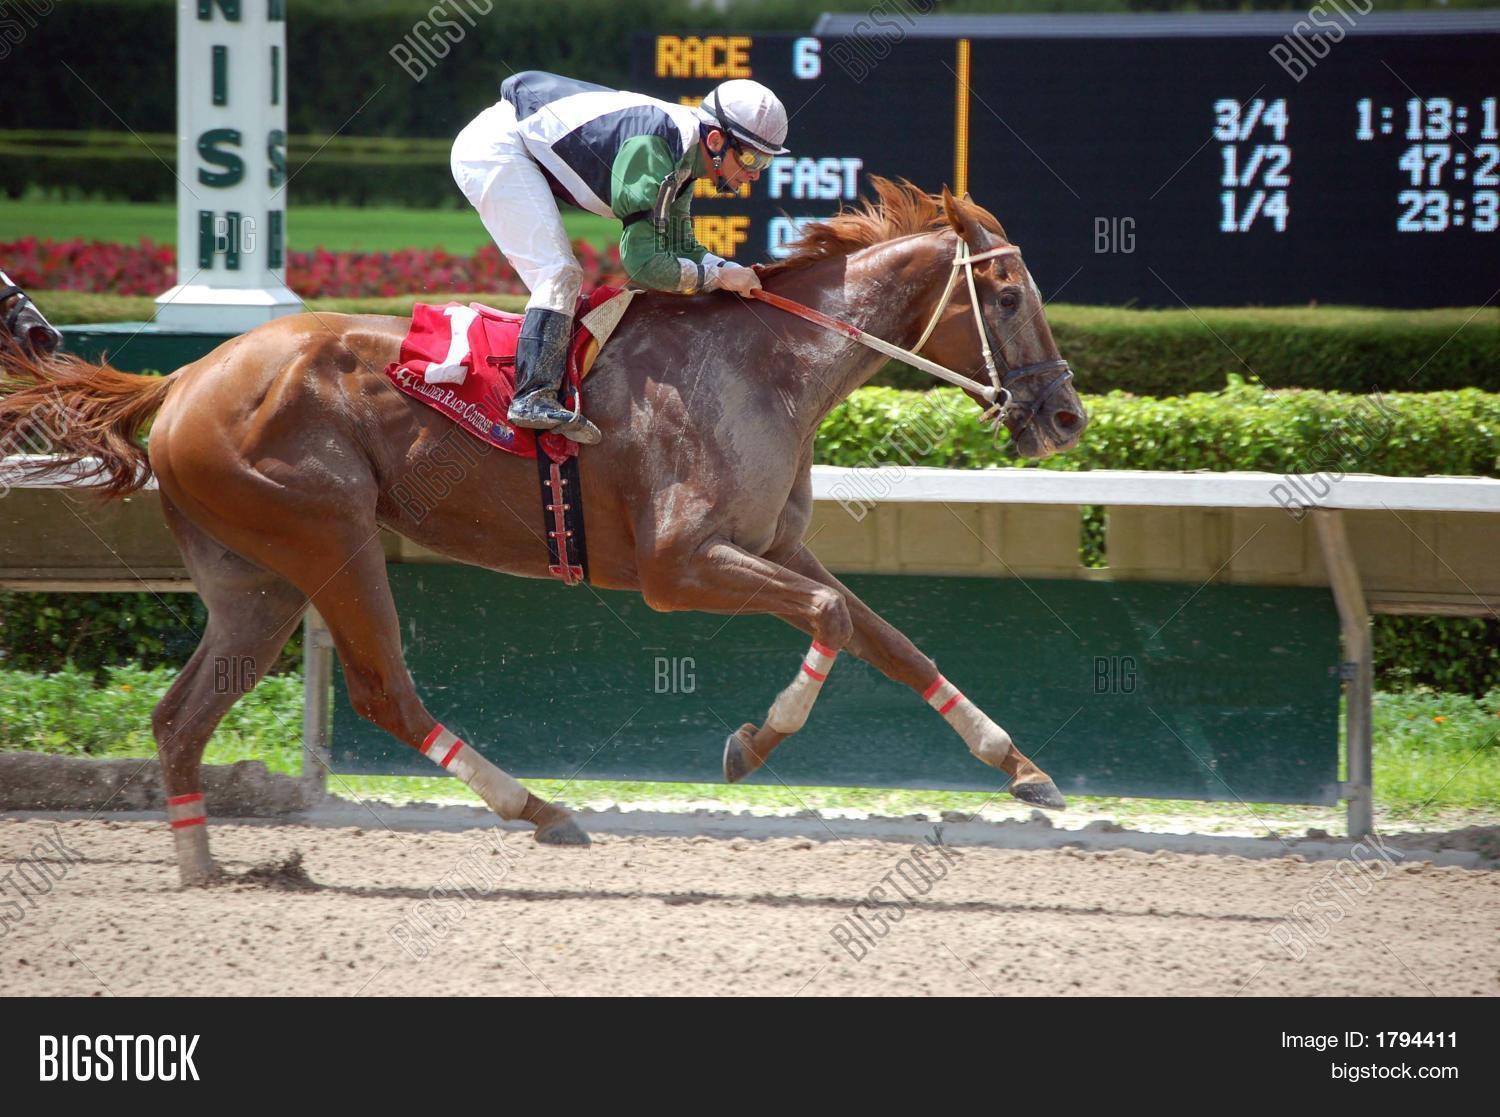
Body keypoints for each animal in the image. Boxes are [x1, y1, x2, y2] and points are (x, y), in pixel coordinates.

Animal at [0, 179, 1088, 886]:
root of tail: (186, 374)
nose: (1066, 415)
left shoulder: (772, 545)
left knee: (180, 715)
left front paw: (1024, 767)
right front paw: (752, 742)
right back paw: (542, 810)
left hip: (253, 579)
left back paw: (199, 862)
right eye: (1005, 294)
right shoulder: (679, 565)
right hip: (325, 535)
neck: (763, 362)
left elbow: (886, 637)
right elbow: (828, 615)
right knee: (383, 690)